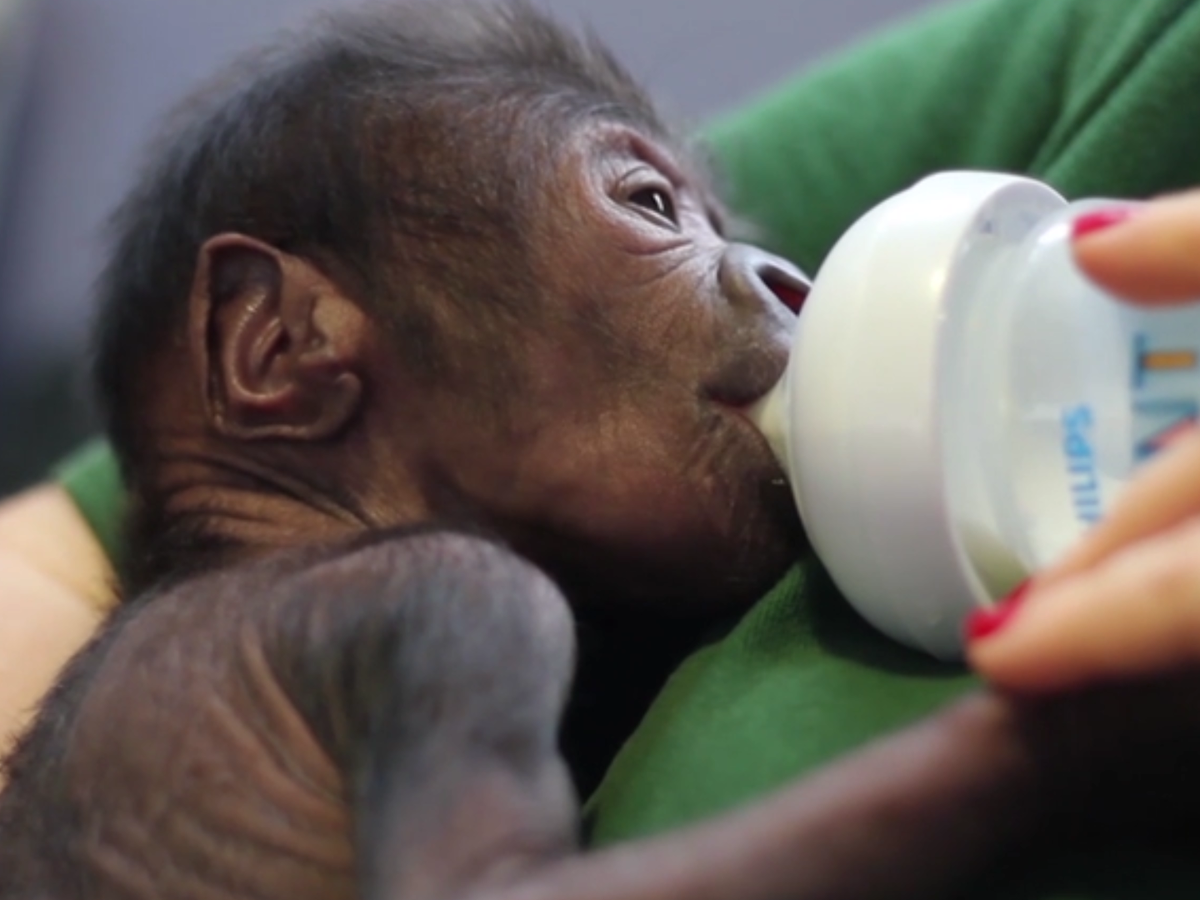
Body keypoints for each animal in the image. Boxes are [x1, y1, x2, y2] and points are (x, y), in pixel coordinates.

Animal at [4, 3, 1200, 898]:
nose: (793, 282)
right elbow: (489, 883)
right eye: (655, 204)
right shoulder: (453, 598)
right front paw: (1121, 711)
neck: (287, 533)